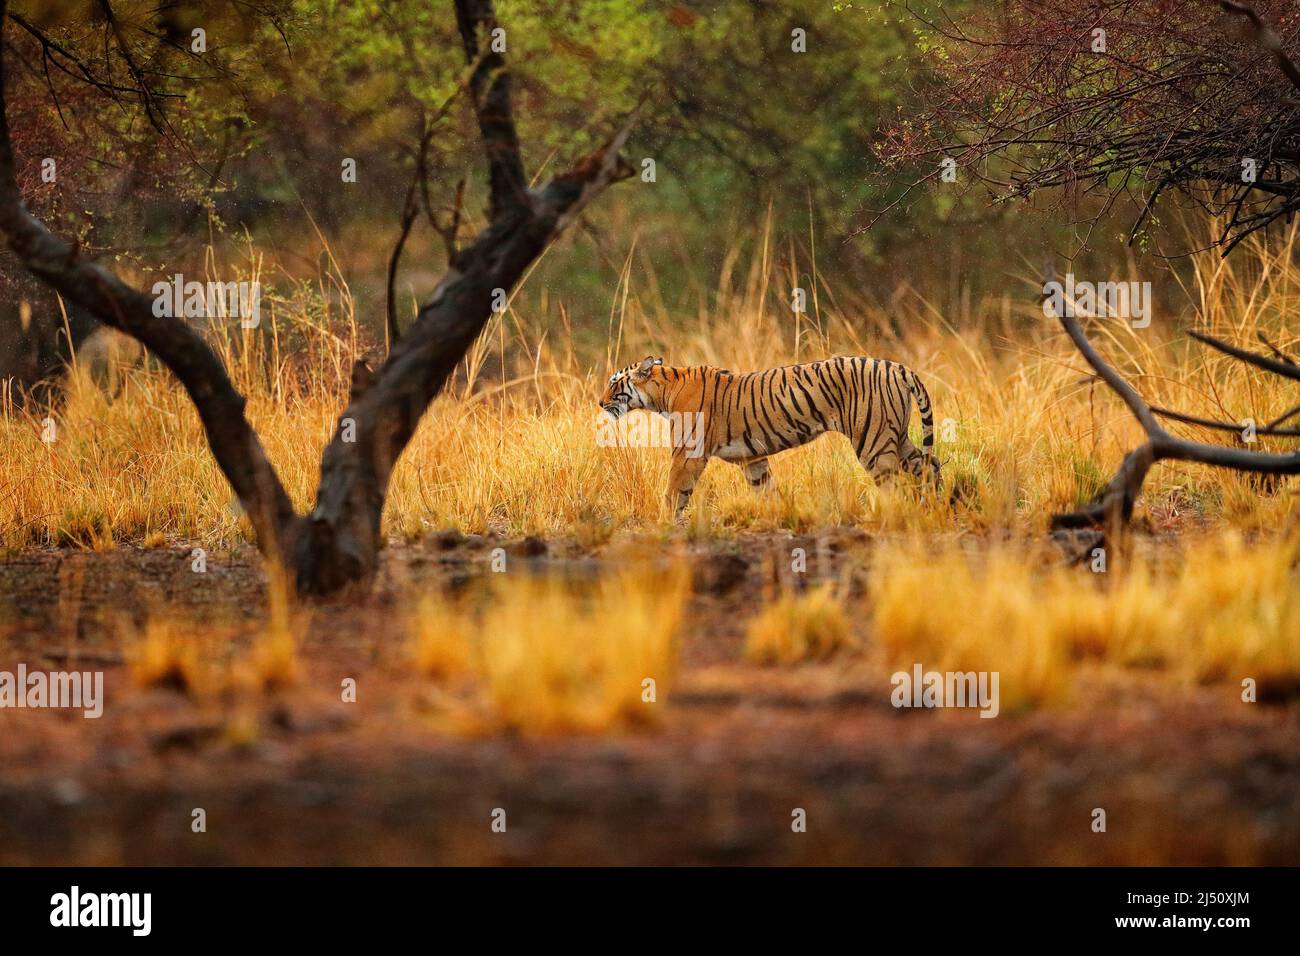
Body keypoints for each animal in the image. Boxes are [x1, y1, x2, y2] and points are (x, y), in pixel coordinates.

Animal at [599, 355, 941, 515]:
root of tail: (897, 367)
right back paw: (937, 507)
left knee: (894, 482)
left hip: (873, 441)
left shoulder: (687, 454)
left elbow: (673, 492)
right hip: (894, 436)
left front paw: (664, 522)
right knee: (930, 464)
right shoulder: (752, 458)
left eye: (614, 383)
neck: (662, 393)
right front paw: (780, 516)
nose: (600, 403)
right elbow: (766, 490)